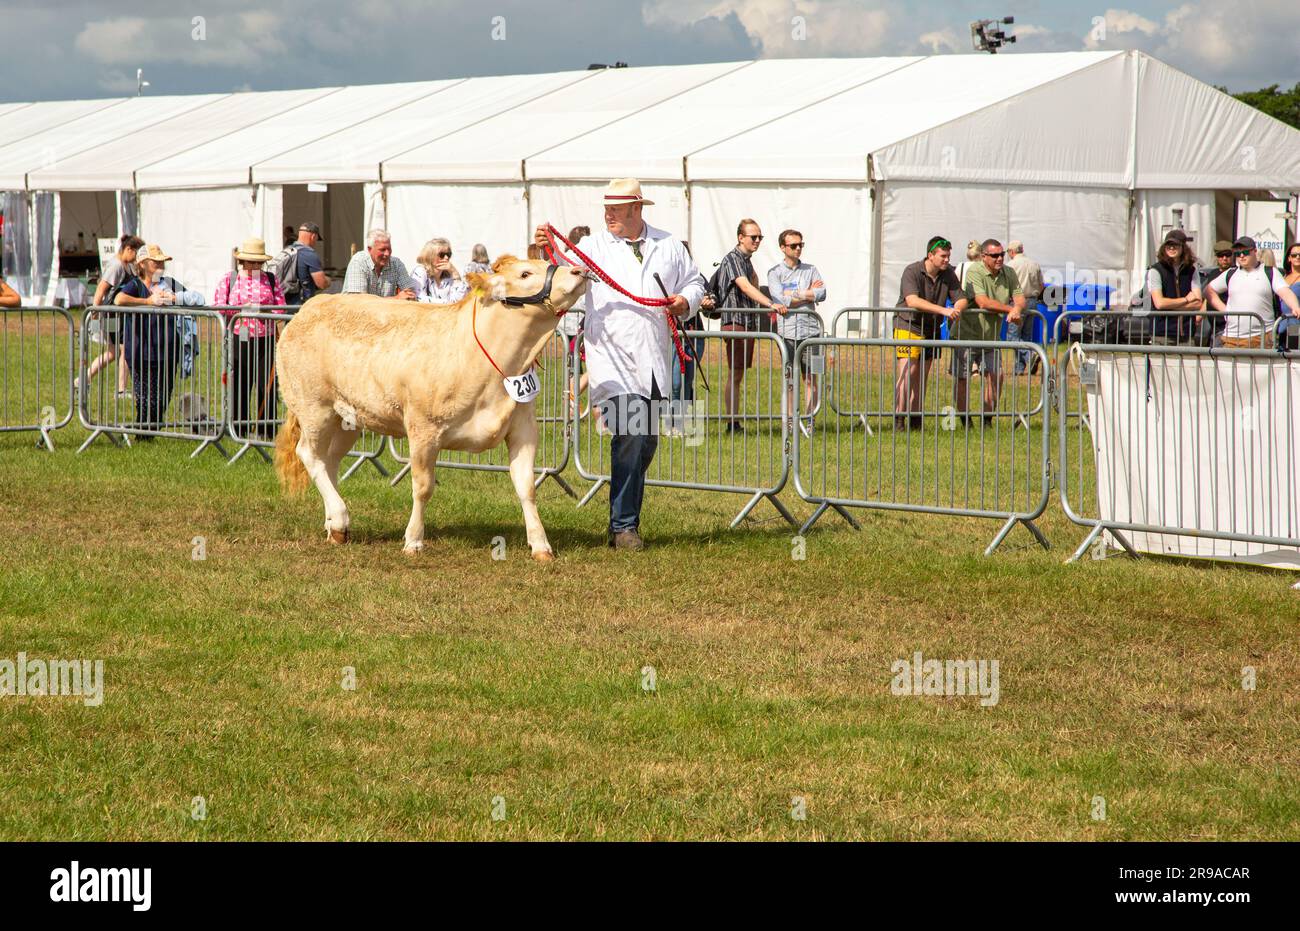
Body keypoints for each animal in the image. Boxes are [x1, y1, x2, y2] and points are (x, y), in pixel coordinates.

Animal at [273, 255, 590, 561]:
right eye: (525, 274)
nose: (580, 270)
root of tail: (311, 307)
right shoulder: (423, 428)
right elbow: (423, 487)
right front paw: (413, 541)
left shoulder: (524, 429)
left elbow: (526, 487)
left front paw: (540, 545)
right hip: (314, 408)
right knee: (310, 455)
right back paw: (339, 517)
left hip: (348, 418)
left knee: (330, 461)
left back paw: (334, 525)